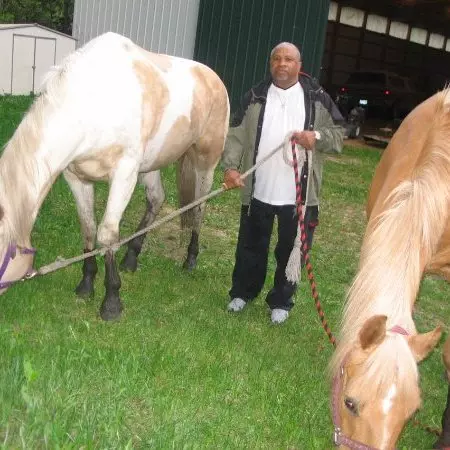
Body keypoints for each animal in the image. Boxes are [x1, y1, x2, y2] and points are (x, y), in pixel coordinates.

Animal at [0, 31, 230, 320]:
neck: (94, 103)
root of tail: (214, 79)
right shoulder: (76, 178)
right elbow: (88, 229)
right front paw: (86, 284)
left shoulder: (124, 175)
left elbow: (107, 234)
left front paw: (111, 302)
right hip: (150, 165)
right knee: (157, 199)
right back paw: (131, 258)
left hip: (204, 163)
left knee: (199, 207)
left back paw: (190, 259)